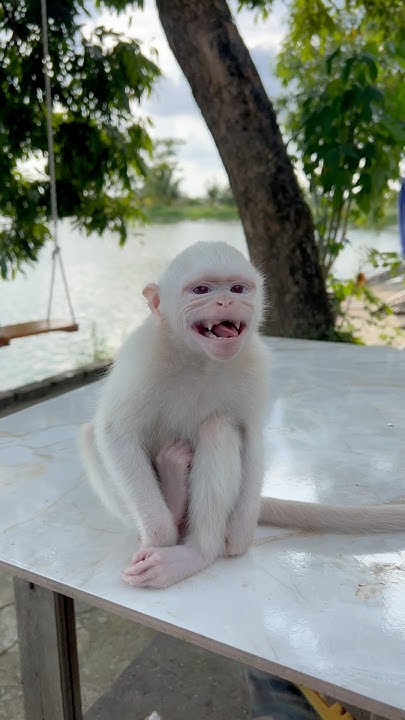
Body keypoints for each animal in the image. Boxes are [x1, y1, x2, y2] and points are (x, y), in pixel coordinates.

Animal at [79, 241, 405, 589]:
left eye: (238, 288)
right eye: (202, 289)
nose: (227, 301)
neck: (200, 360)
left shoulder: (254, 364)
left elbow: (250, 434)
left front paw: (240, 534)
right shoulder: (143, 355)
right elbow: (114, 433)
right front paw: (159, 535)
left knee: (219, 427)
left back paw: (196, 549)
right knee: (91, 436)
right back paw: (174, 508)